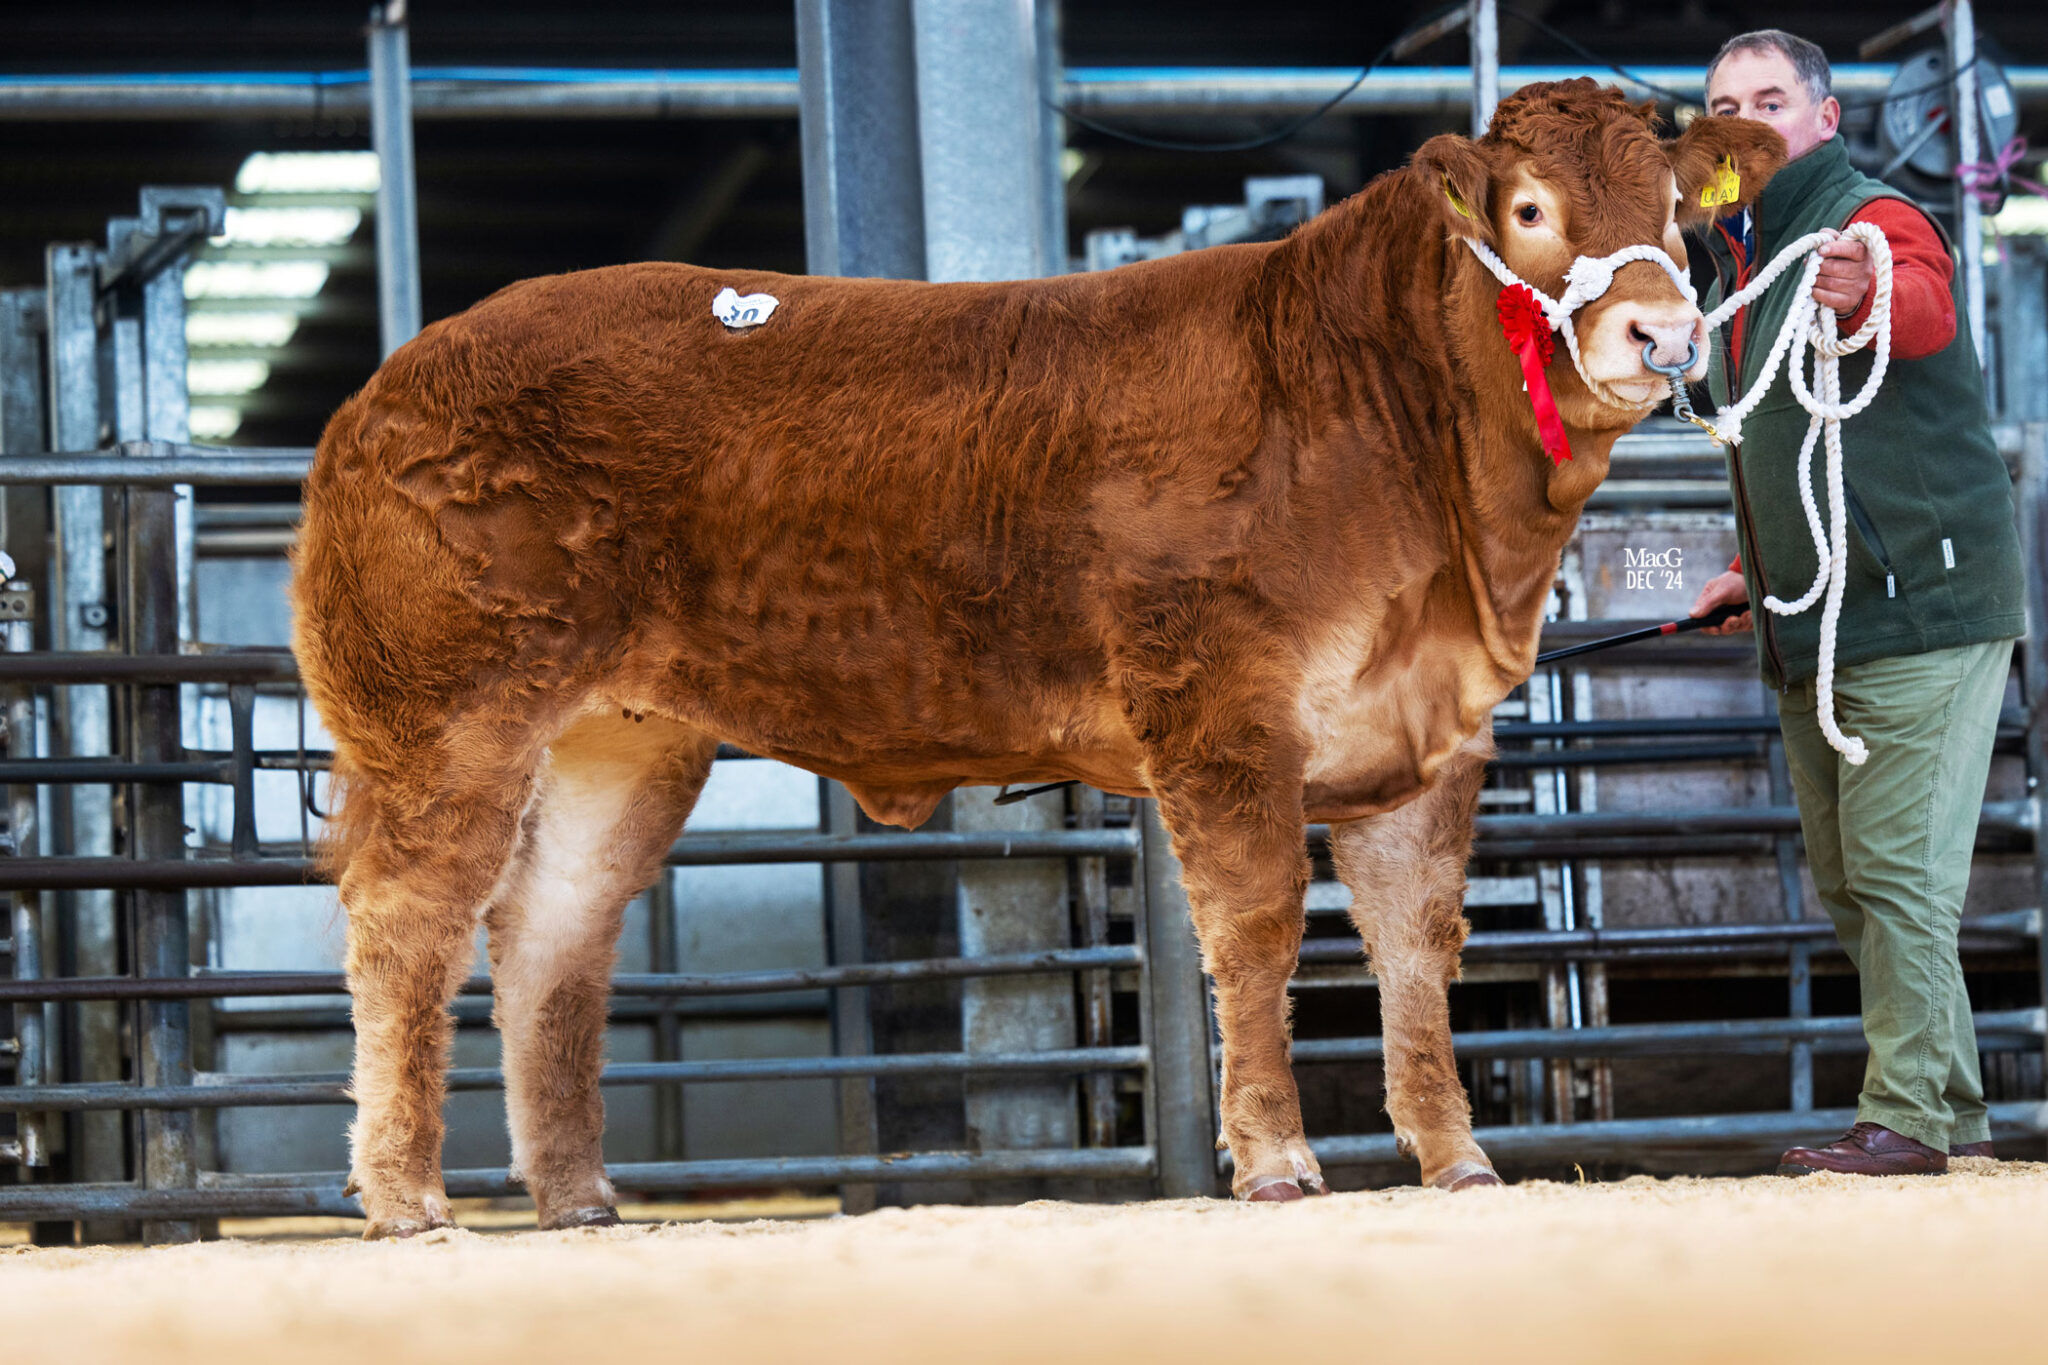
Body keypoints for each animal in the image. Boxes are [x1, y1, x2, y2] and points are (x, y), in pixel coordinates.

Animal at [292, 79, 1784, 1236]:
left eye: (1676, 212)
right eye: (1529, 212)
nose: (1659, 333)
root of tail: (394, 382)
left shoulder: (1429, 730)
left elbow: (1417, 945)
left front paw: (1458, 1159)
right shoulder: (1221, 701)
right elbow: (1258, 927)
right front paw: (1277, 1161)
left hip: (621, 735)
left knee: (552, 936)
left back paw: (578, 1197)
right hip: (445, 711)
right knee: (408, 924)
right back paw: (406, 1199)